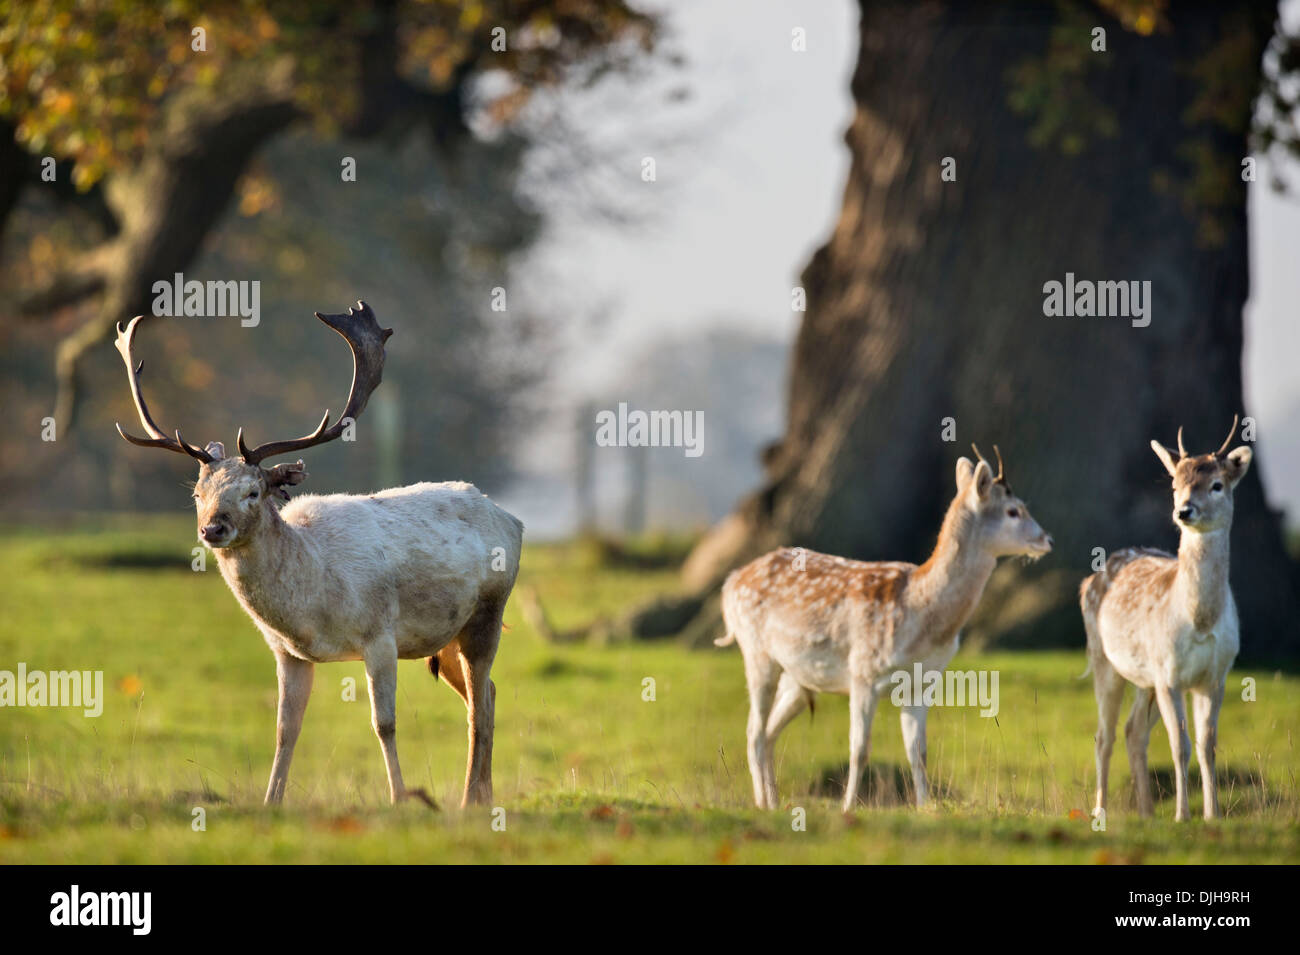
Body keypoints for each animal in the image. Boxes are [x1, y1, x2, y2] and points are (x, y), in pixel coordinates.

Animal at [112, 302, 523, 809]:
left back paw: (469, 801)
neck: (312, 606)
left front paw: (400, 800)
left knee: (479, 704)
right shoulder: (287, 653)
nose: (212, 528)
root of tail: (511, 518)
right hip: (444, 637)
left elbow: (384, 723)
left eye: (253, 491)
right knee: (487, 693)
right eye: (197, 493)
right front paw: (270, 802)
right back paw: (482, 796)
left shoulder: (380, 635)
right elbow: (285, 730)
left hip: (488, 613)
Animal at [717, 447, 1053, 812]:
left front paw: (925, 807)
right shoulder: (863, 671)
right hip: (756, 651)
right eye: (1013, 510)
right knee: (754, 731)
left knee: (769, 733)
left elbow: (919, 752)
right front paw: (847, 807)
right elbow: (859, 749)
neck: (922, 616)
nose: (1047, 539)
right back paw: (762, 802)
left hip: (799, 678)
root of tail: (731, 583)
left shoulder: (922, 682)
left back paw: (775, 802)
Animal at [1082, 417, 1249, 822]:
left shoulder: (1215, 675)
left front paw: (1212, 815)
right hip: (1105, 659)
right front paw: (1182, 816)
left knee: (1133, 731)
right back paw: (1101, 811)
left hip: (1146, 679)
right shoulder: (1169, 673)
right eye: (1176, 484)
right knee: (1104, 735)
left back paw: (1145, 814)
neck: (1199, 621)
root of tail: (1088, 581)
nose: (1184, 511)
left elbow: (1207, 745)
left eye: (1217, 484)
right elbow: (1180, 745)